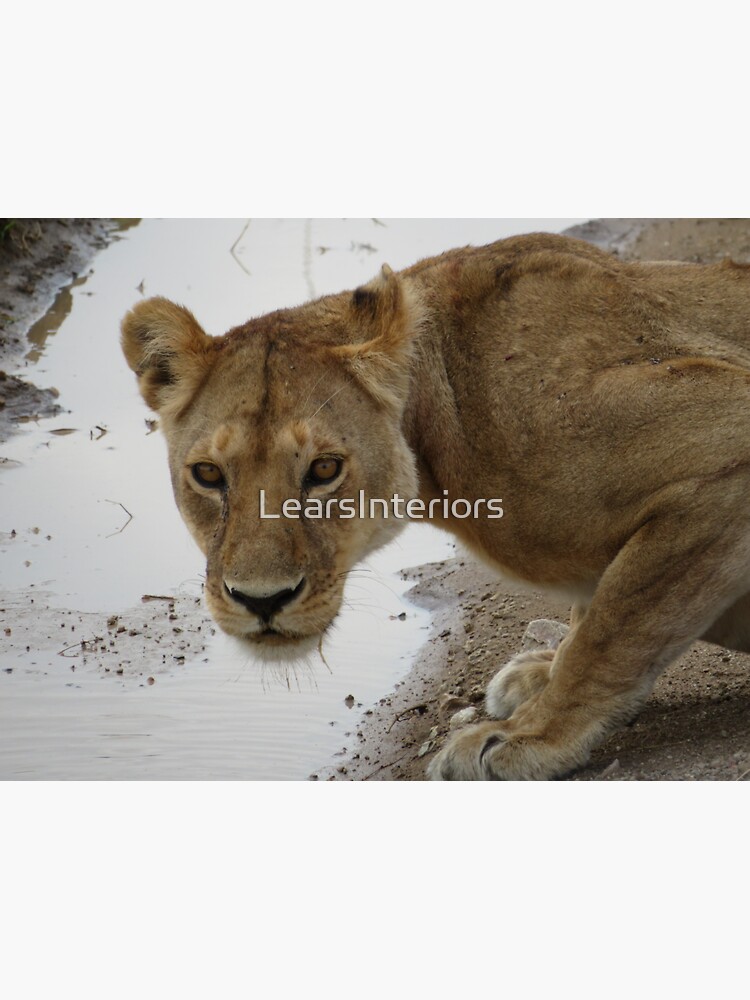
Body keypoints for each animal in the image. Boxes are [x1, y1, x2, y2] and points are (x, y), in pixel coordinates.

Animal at [121, 232, 750, 780]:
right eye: (208, 474)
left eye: (324, 469)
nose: (262, 600)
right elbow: (594, 615)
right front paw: (542, 672)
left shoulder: (726, 436)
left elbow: (613, 628)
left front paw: (529, 736)